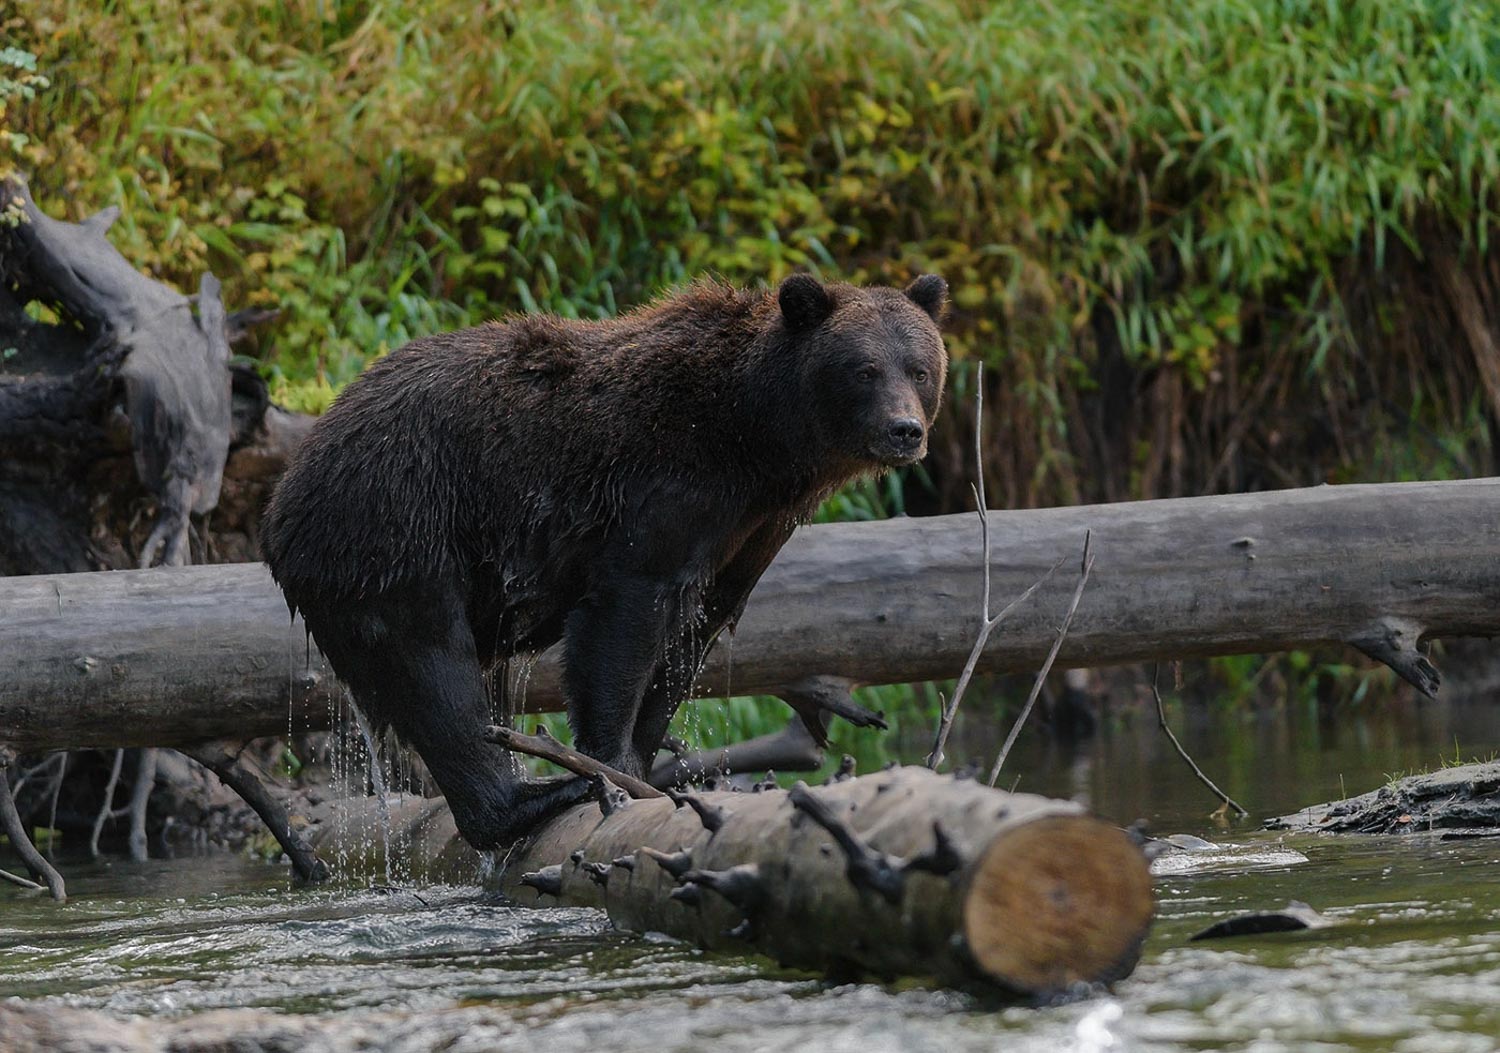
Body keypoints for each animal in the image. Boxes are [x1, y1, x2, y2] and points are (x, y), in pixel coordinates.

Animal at [261, 272, 949, 848]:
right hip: (396, 530)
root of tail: (288, 489)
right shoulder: (661, 489)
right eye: (863, 369)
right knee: (435, 672)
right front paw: (611, 766)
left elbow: (690, 640)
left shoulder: (750, 533)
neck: (757, 440)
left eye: (919, 368)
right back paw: (531, 793)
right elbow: (624, 620)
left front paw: (649, 765)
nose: (905, 431)